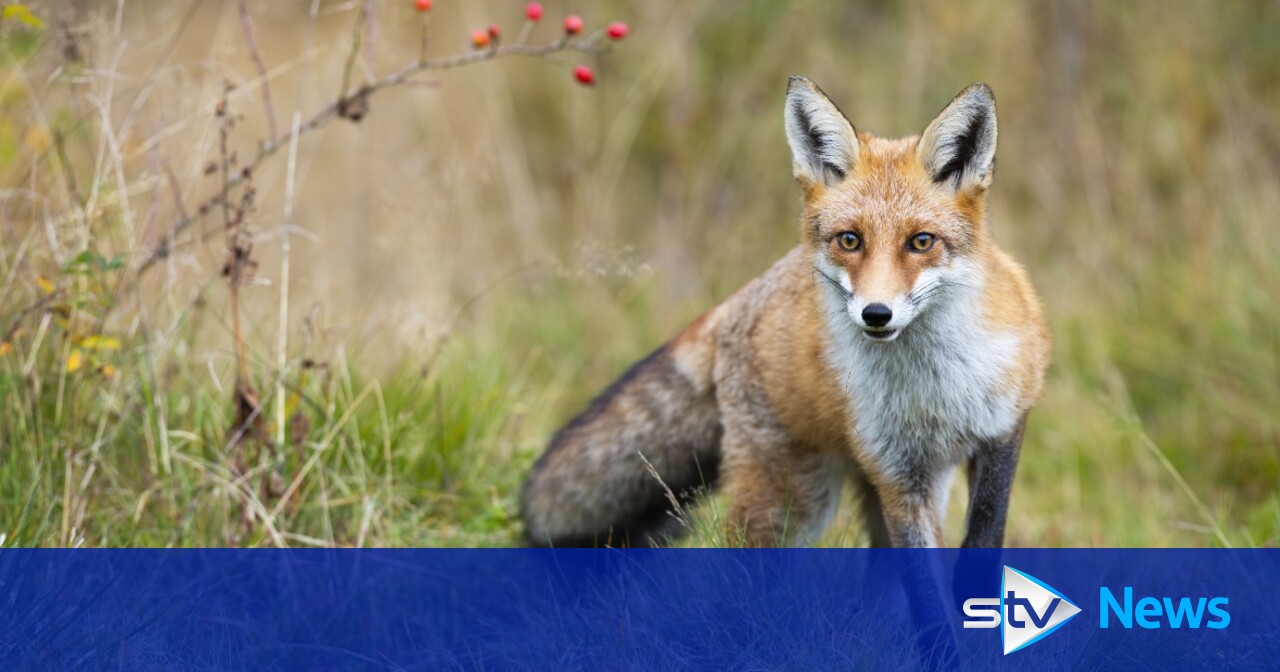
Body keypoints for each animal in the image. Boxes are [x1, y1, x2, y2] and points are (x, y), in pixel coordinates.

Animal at [521, 78, 1050, 548]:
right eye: (849, 240)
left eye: (921, 242)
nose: (876, 314)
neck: (934, 391)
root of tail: (736, 301)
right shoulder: (898, 473)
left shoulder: (1001, 433)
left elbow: (983, 539)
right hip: (792, 502)